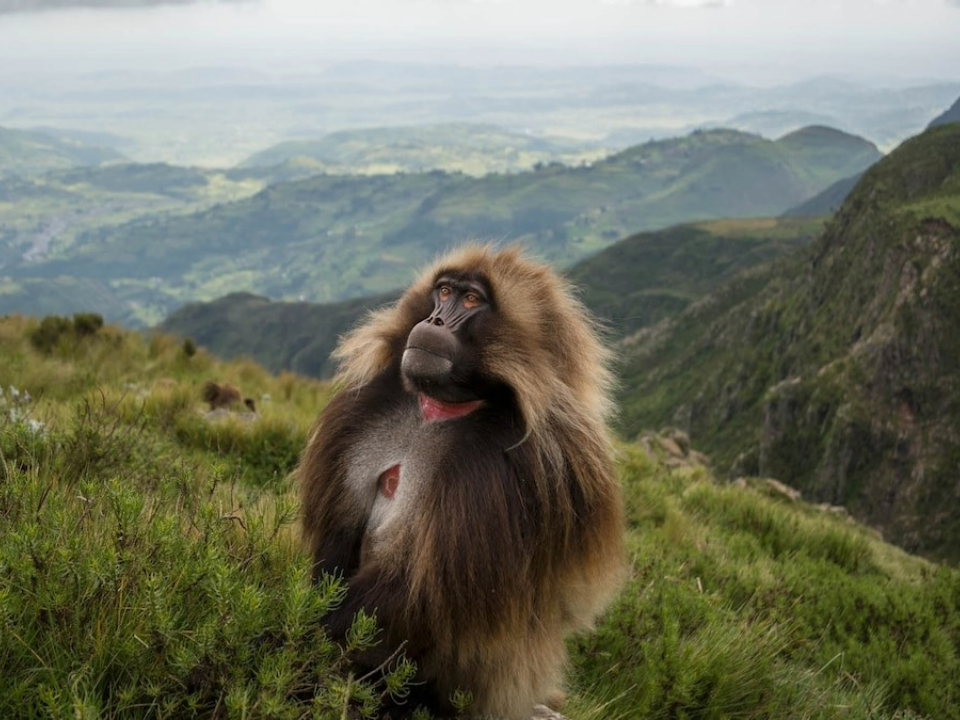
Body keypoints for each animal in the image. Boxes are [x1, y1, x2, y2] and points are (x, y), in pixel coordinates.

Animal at [298, 245, 625, 719]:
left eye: (471, 300)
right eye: (443, 292)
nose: (433, 321)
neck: (443, 408)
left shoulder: (507, 469)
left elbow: (425, 591)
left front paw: (306, 636)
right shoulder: (364, 416)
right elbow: (339, 538)